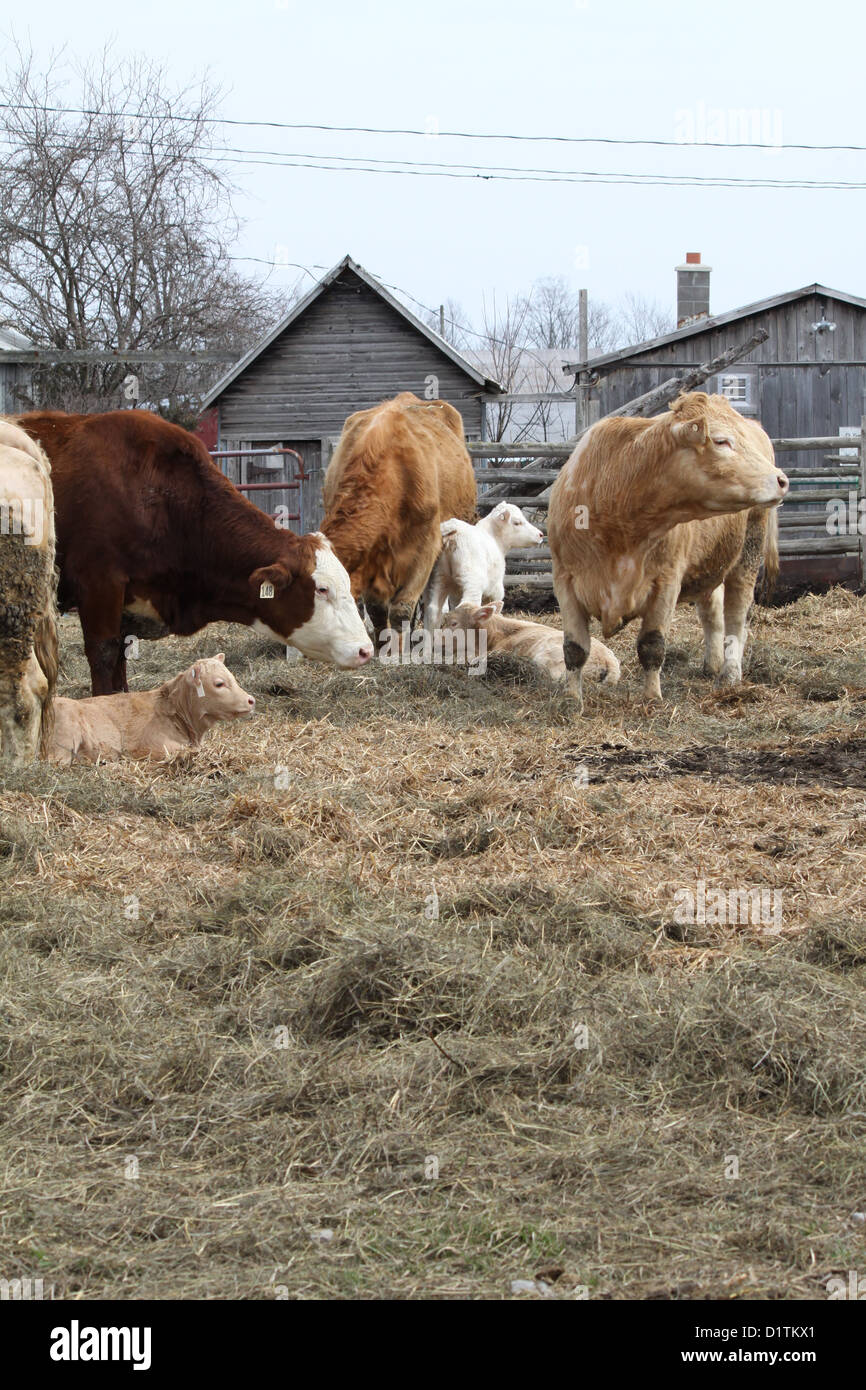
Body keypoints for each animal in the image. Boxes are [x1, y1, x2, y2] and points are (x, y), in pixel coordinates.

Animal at [423, 503, 545, 632]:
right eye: (517, 523)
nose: (540, 534)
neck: (495, 540)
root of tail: (452, 534)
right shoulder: (495, 591)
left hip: (439, 576)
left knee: (434, 610)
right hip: (472, 579)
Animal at [547, 392, 789, 705]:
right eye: (721, 441)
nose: (781, 480)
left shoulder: (666, 581)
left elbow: (652, 645)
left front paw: (652, 698)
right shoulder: (564, 579)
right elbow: (574, 649)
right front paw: (572, 699)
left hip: (749, 552)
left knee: (737, 615)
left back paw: (729, 675)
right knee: (712, 611)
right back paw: (712, 664)